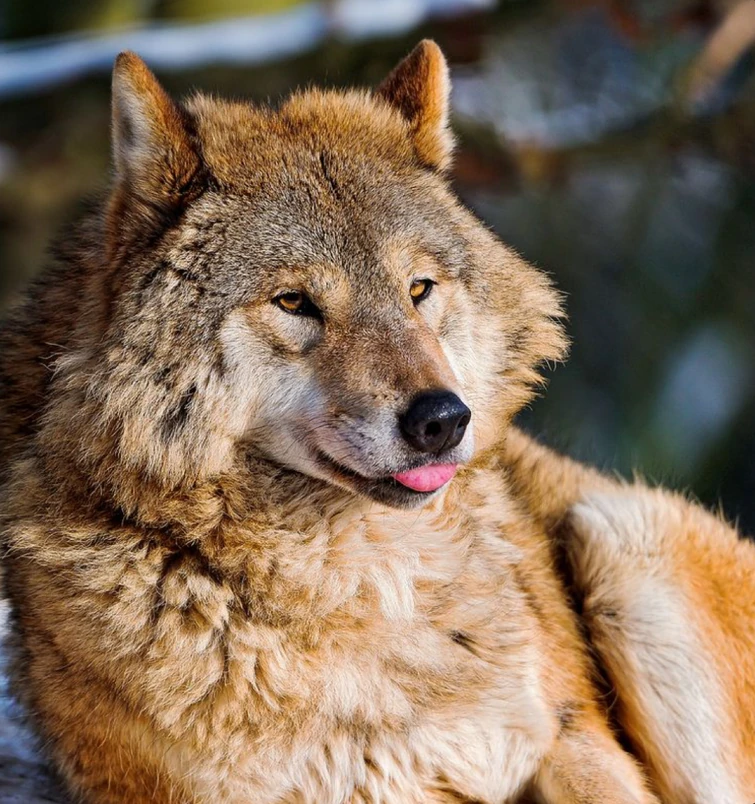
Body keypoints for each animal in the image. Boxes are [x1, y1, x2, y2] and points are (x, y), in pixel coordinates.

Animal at [0, 41, 753, 804]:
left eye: (417, 288)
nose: (443, 419)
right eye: (294, 301)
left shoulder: (567, 739)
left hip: (618, 531)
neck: (362, 585)